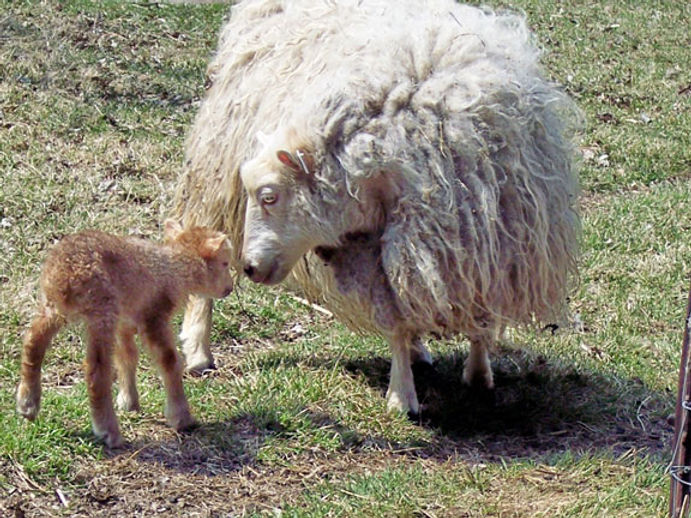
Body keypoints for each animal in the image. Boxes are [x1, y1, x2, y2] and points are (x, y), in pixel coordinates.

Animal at [173, 0, 581, 415]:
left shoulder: (485, 252)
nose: (250, 267)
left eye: (270, 196)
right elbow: (395, 323)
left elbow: (478, 317)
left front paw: (480, 375)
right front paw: (402, 396)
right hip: (215, 172)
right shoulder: (377, 247)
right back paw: (198, 350)